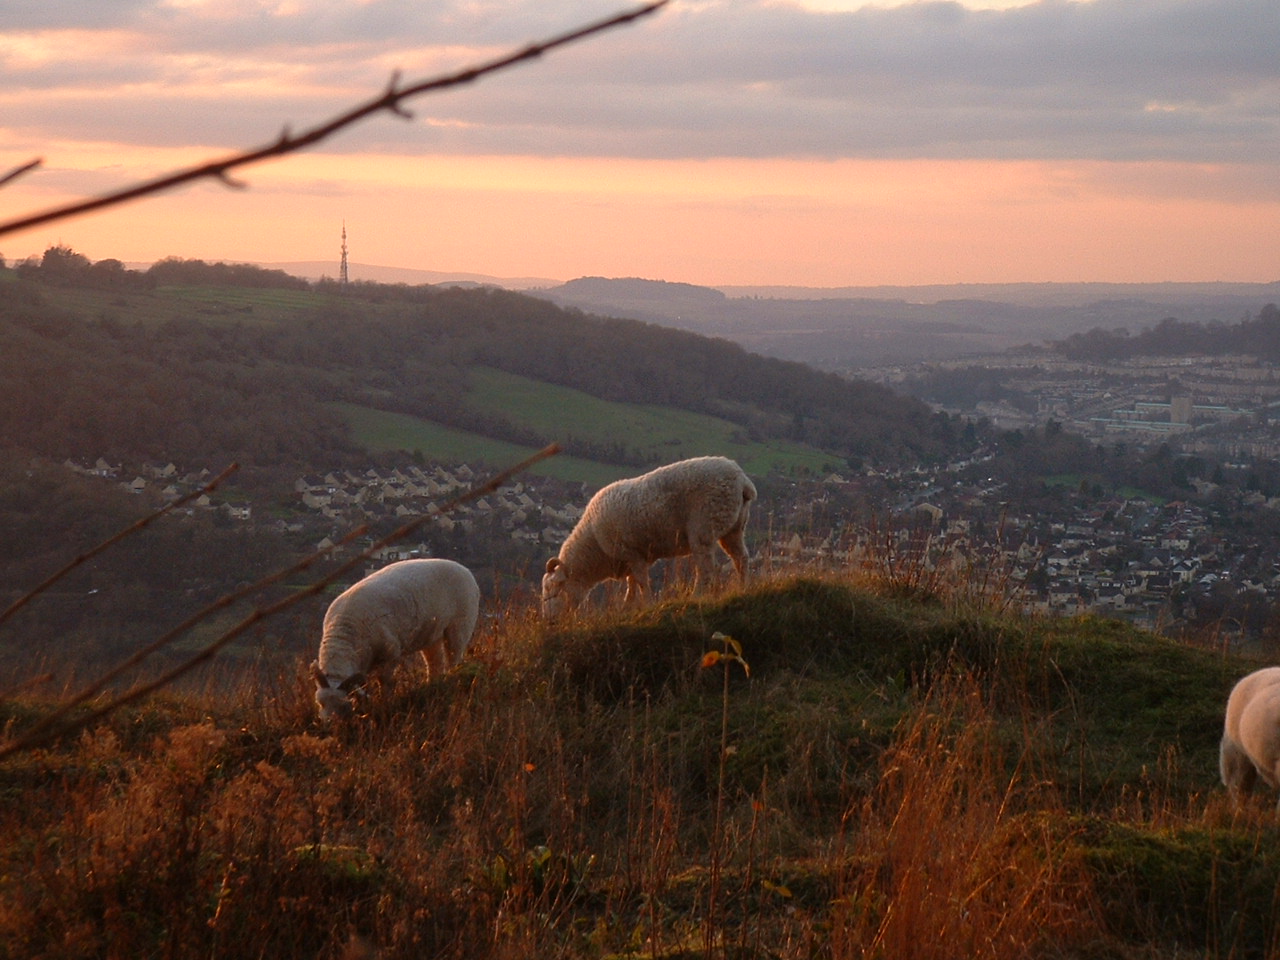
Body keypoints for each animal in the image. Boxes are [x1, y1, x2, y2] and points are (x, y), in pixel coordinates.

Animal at [310, 558, 480, 720]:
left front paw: (384, 703)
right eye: (320, 703)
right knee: (435, 663)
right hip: (432, 635)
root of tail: (466, 571)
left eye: (342, 705)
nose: (329, 724)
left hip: (460, 624)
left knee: (454, 656)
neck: (344, 635)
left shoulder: (390, 654)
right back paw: (432, 685)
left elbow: (384, 682)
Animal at [541, 455, 756, 619]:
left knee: (707, 568)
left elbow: (642, 582)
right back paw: (742, 587)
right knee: (741, 558)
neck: (594, 543)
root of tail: (742, 481)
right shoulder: (632, 558)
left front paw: (648, 604)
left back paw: (697, 595)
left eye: (555, 588)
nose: (549, 621)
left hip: (704, 527)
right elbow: (632, 584)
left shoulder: (632, 554)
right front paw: (627, 607)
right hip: (734, 528)